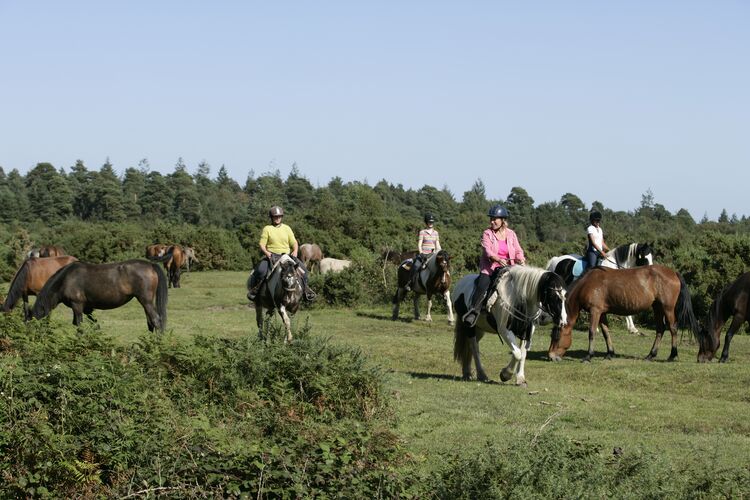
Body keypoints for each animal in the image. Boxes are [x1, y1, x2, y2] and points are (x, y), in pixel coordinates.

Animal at [31, 260, 168, 332]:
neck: (66, 279)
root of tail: (150, 264)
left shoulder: (77, 305)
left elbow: (79, 325)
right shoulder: (87, 308)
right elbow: (94, 324)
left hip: (145, 301)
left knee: (156, 320)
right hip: (146, 302)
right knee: (150, 322)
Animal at [548, 265, 703, 363]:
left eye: (557, 337)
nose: (550, 356)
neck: (587, 283)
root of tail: (673, 273)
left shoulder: (595, 311)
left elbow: (592, 332)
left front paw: (588, 356)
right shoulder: (602, 313)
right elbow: (606, 332)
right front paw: (610, 354)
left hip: (668, 308)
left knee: (673, 328)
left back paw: (672, 355)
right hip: (657, 307)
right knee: (660, 329)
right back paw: (650, 355)